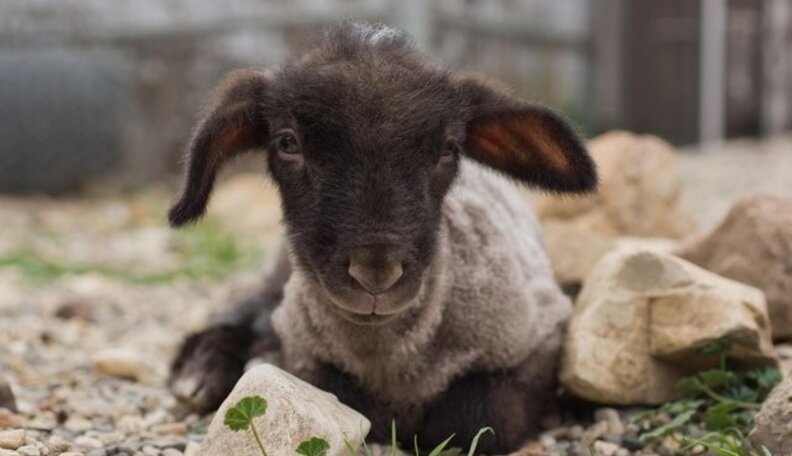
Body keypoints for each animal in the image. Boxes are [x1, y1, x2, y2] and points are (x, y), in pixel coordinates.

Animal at [167, 23, 596, 454]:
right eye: (288, 142)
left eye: (449, 149)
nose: (376, 273)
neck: (388, 353)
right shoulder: (305, 350)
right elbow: (343, 397)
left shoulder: (542, 341)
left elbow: (476, 417)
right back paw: (201, 372)